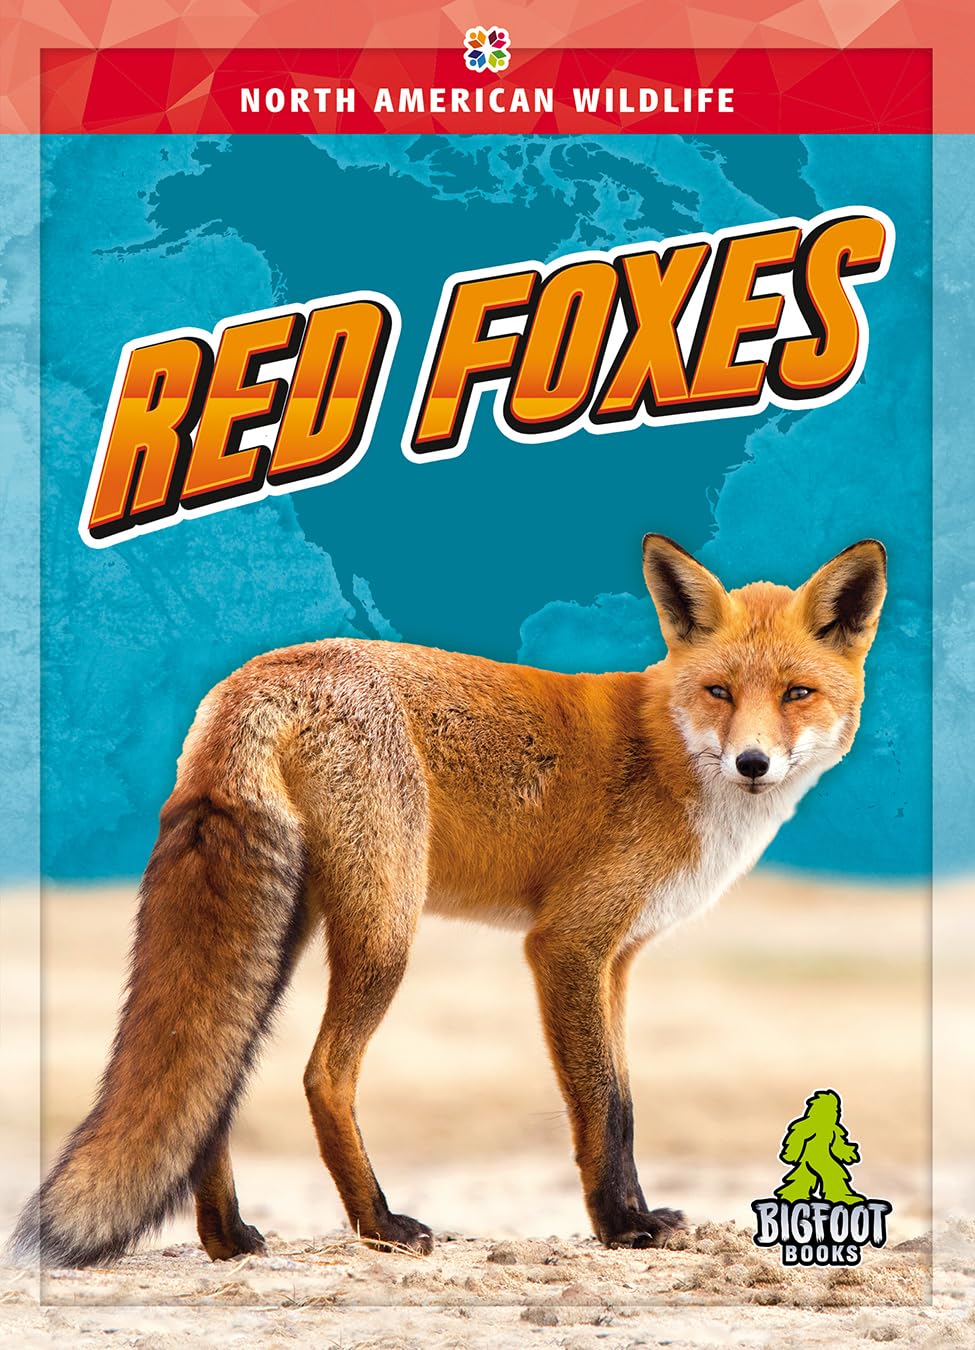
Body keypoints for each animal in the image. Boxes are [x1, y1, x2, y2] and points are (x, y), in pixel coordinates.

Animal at [9, 533, 886, 1266]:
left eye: (796, 693)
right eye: (718, 691)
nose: (752, 763)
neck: (669, 756)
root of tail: (256, 677)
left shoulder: (618, 959)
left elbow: (626, 1100)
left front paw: (634, 1215)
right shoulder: (566, 945)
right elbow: (602, 1104)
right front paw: (621, 1227)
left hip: (286, 927)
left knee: (214, 1091)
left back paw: (228, 1237)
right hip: (385, 929)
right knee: (322, 1075)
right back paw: (378, 1224)